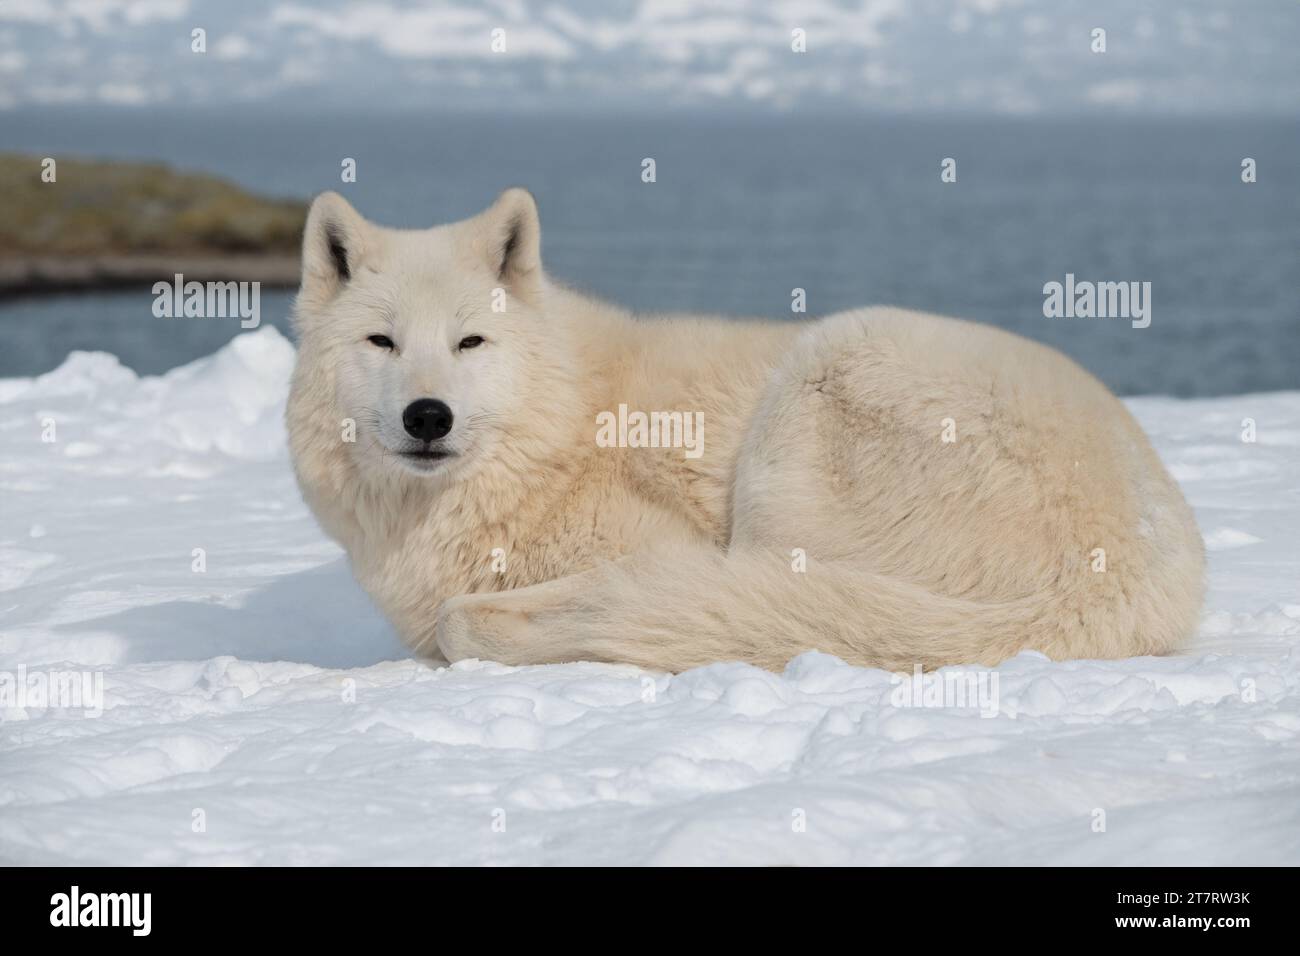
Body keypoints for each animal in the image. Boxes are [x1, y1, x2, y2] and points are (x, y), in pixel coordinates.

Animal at [286, 189, 1205, 673]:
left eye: (470, 342)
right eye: (383, 342)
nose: (428, 417)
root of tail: (1120, 574)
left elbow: (457, 621)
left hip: (816, 391)